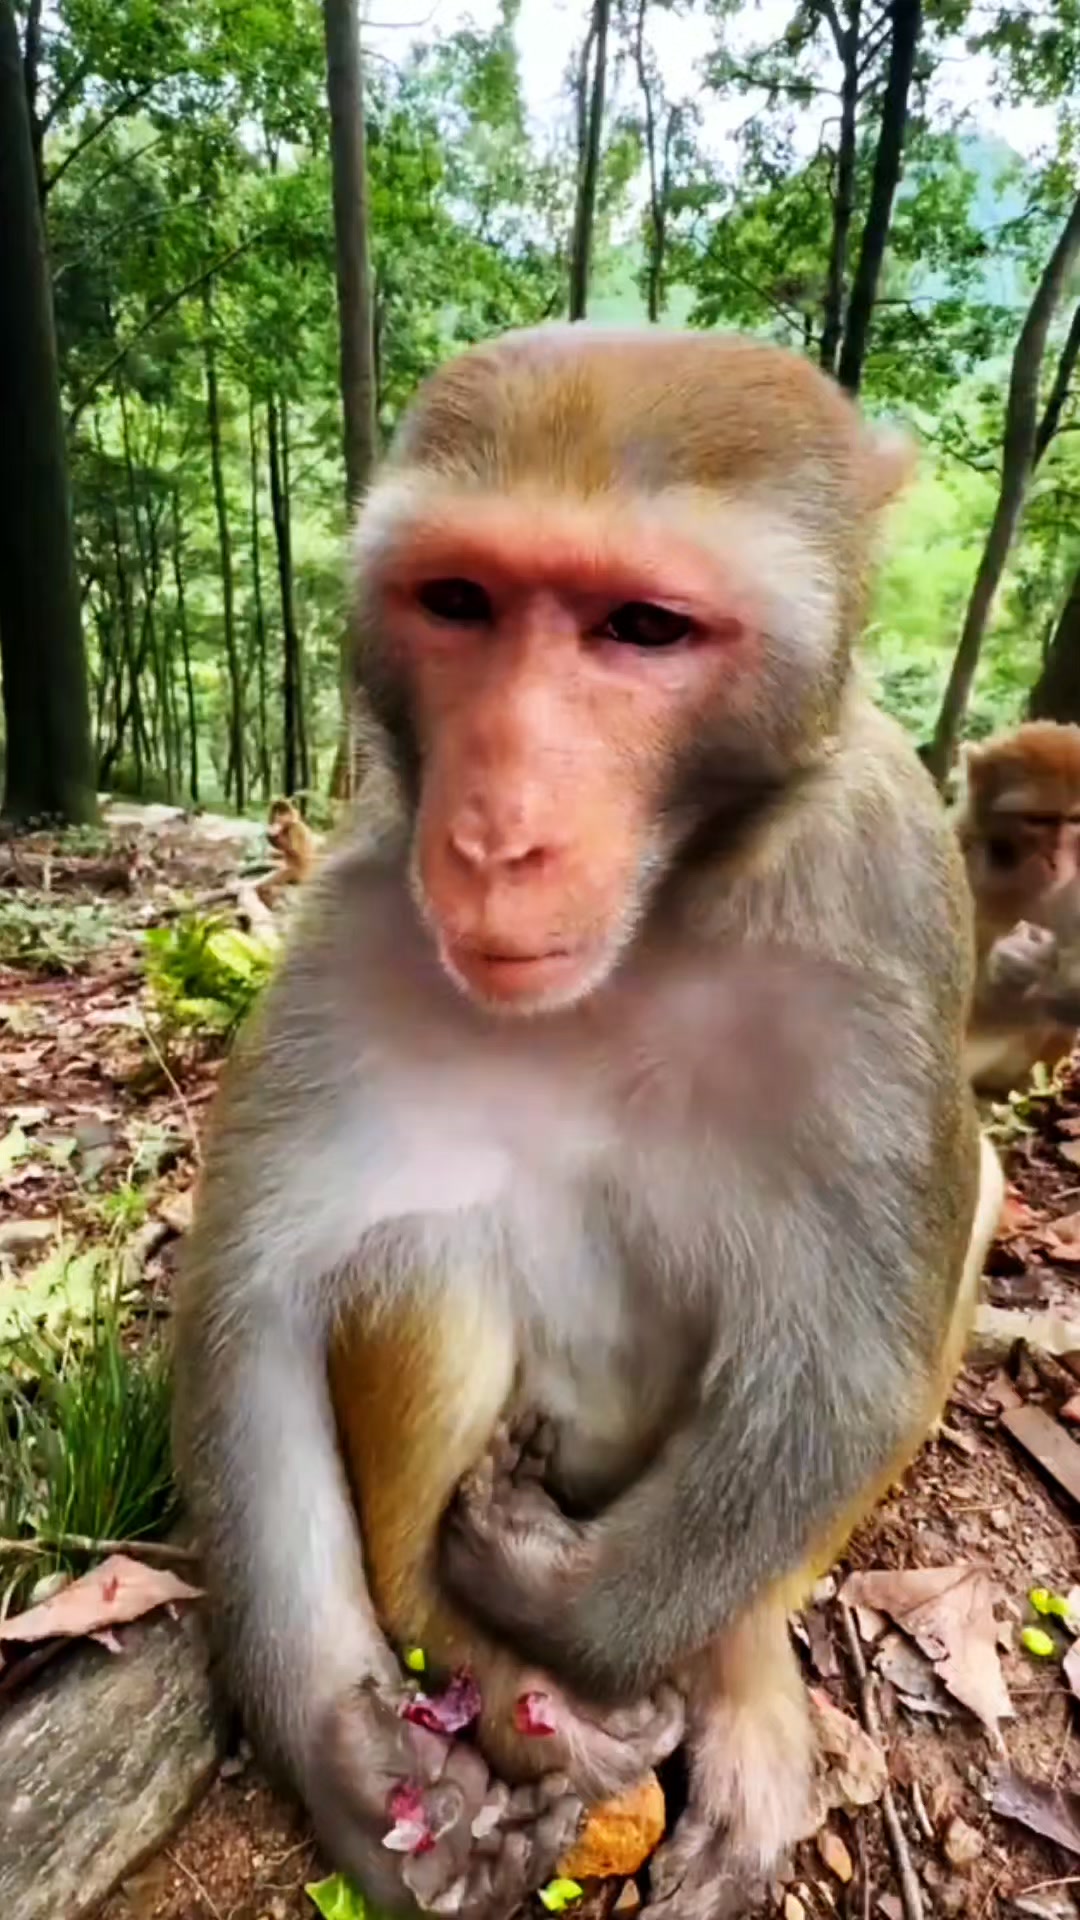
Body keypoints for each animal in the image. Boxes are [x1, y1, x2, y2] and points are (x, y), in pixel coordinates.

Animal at [173, 326, 1004, 1920]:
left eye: (642, 627)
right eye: (460, 601)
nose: (498, 835)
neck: (660, 916)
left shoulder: (892, 906)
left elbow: (849, 1363)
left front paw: (559, 1597)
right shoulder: (359, 905)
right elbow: (258, 1305)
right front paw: (359, 1771)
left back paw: (712, 1679)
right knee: (420, 1261)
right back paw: (503, 1688)